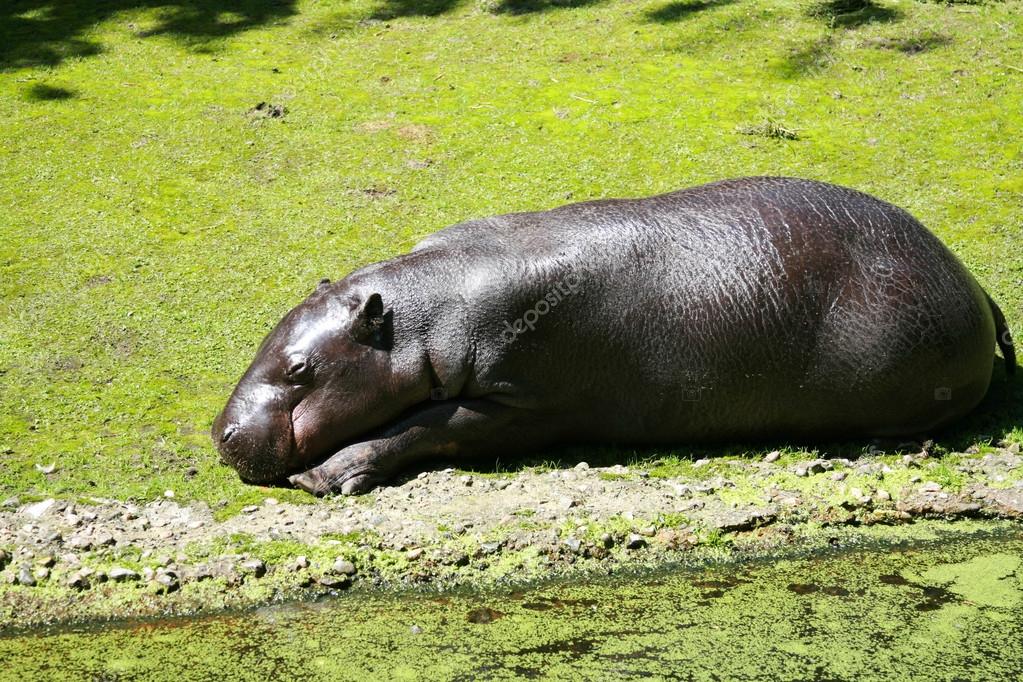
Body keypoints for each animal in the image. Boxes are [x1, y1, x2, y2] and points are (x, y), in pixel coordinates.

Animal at [212, 177, 1015, 495]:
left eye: (299, 369)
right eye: (269, 338)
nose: (221, 434)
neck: (424, 309)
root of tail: (973, 282)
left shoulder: (519, 401)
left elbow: (423, 426)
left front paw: (325, 476)